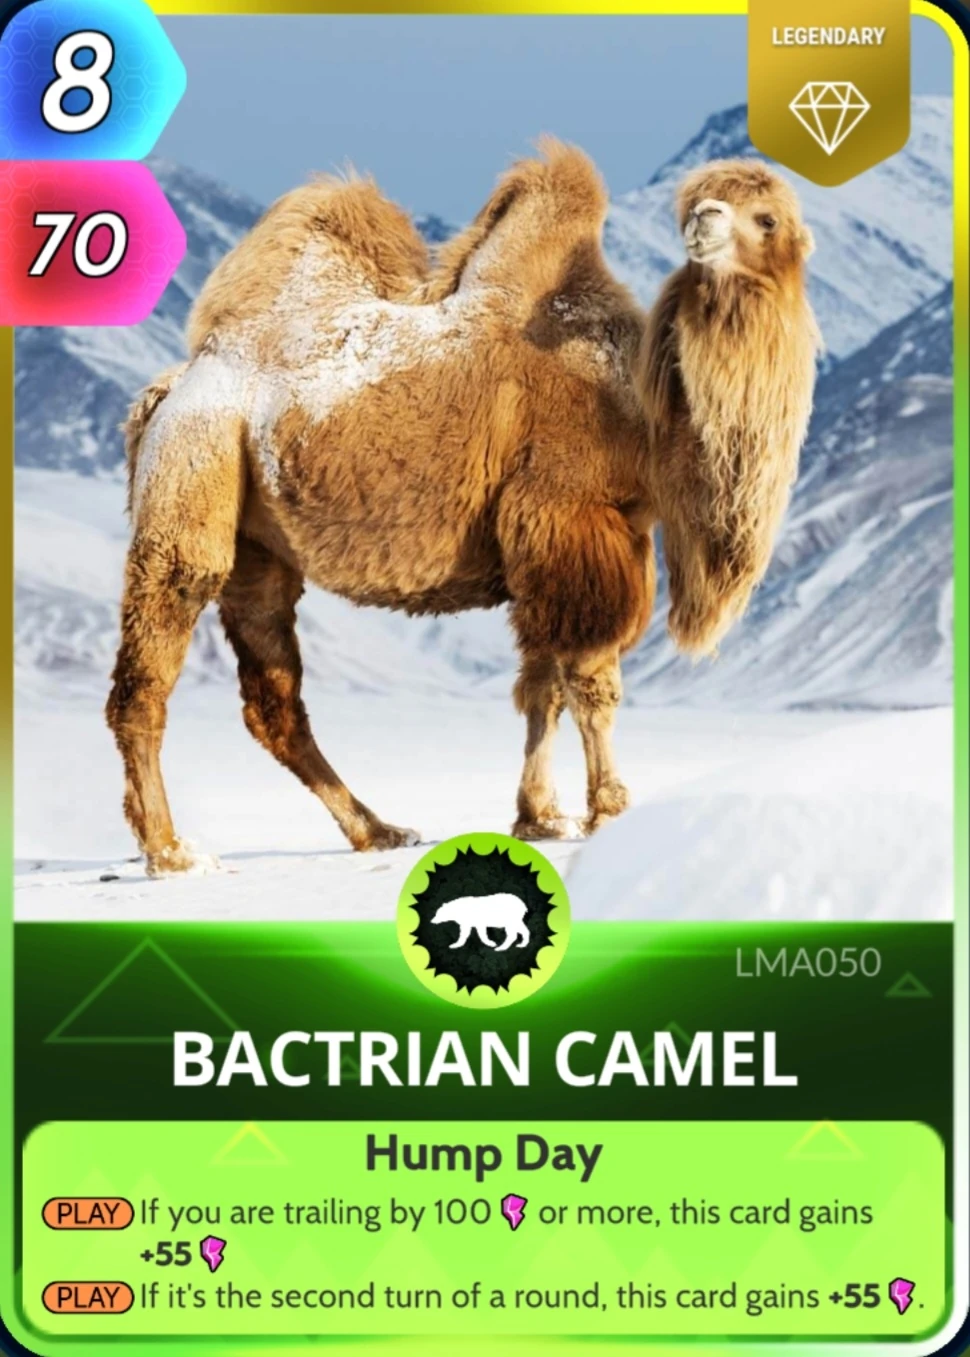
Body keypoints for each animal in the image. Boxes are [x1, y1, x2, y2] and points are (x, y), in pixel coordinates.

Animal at [107, 141, 820, 875]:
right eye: (700, 205)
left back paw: (378, 828)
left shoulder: (548, 544)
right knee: (149, 669)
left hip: (259, 542)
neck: (642, 411)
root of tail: (170, 388)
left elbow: (541, 685)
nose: (704, 220)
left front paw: (542, 815)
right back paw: (171, 850)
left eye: (767, 217)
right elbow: (590, 678)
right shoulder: (569, 517)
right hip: (192, 465)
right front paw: (610, 806)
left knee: (271, 697)